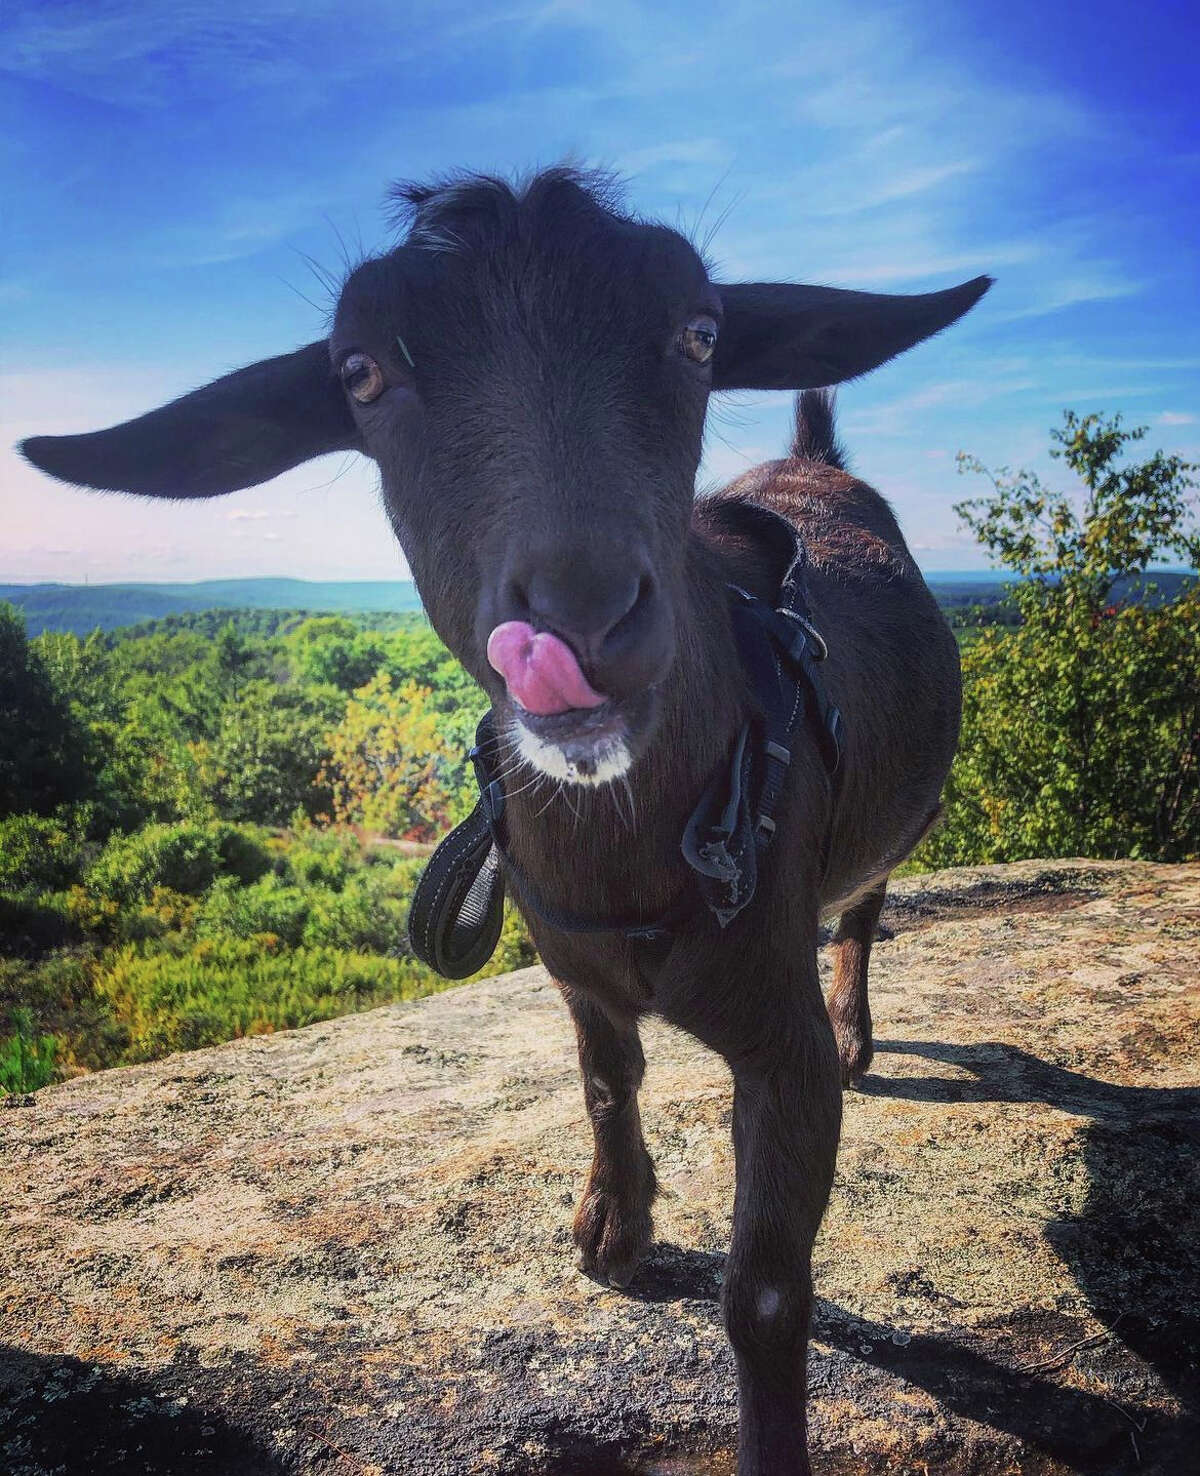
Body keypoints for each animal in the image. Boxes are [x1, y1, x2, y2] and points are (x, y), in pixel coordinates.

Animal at [21, 168, 988, 1475]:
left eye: (701, 333)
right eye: (361, 372)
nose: (583, 614)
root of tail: (813, 463)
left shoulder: (776, 1043)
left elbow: (766, 1294)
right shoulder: (571, 967)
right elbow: (604, 1079)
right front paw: (614, 1231)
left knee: (870, 901)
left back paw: (858, 1025)